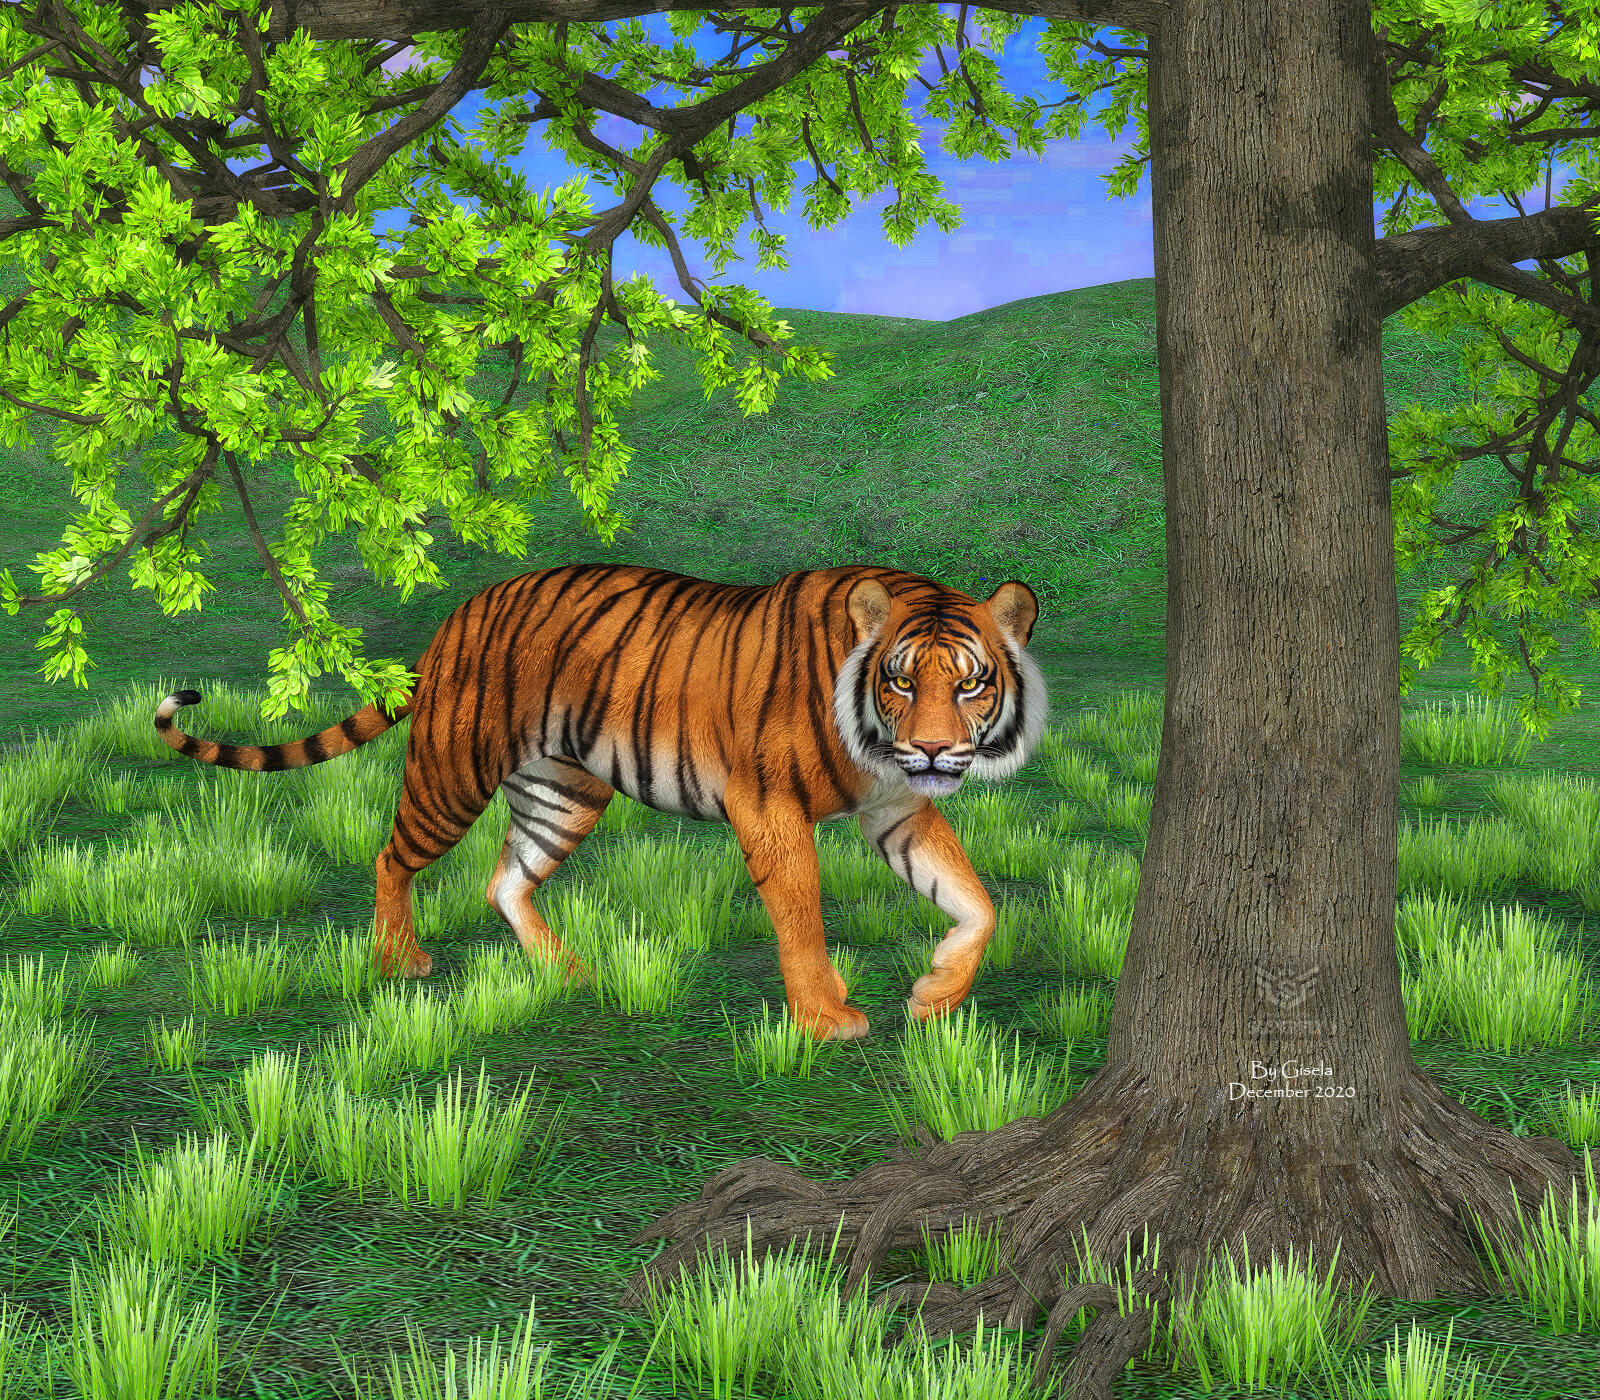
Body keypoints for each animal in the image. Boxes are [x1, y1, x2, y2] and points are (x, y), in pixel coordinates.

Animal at [153, 564, 1047, 1040]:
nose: (931, 751)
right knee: (390, 857)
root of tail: (457, 614)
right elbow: (801, 910)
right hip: (452, 774)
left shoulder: (895, 807)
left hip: (562, 792)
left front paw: (934, 995)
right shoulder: (768, 805)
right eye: (902, 681)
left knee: (505, 881)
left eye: (969, 683)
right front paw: (827, 1018)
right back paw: (398, 959)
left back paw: (569, 971)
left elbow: (977, 902)